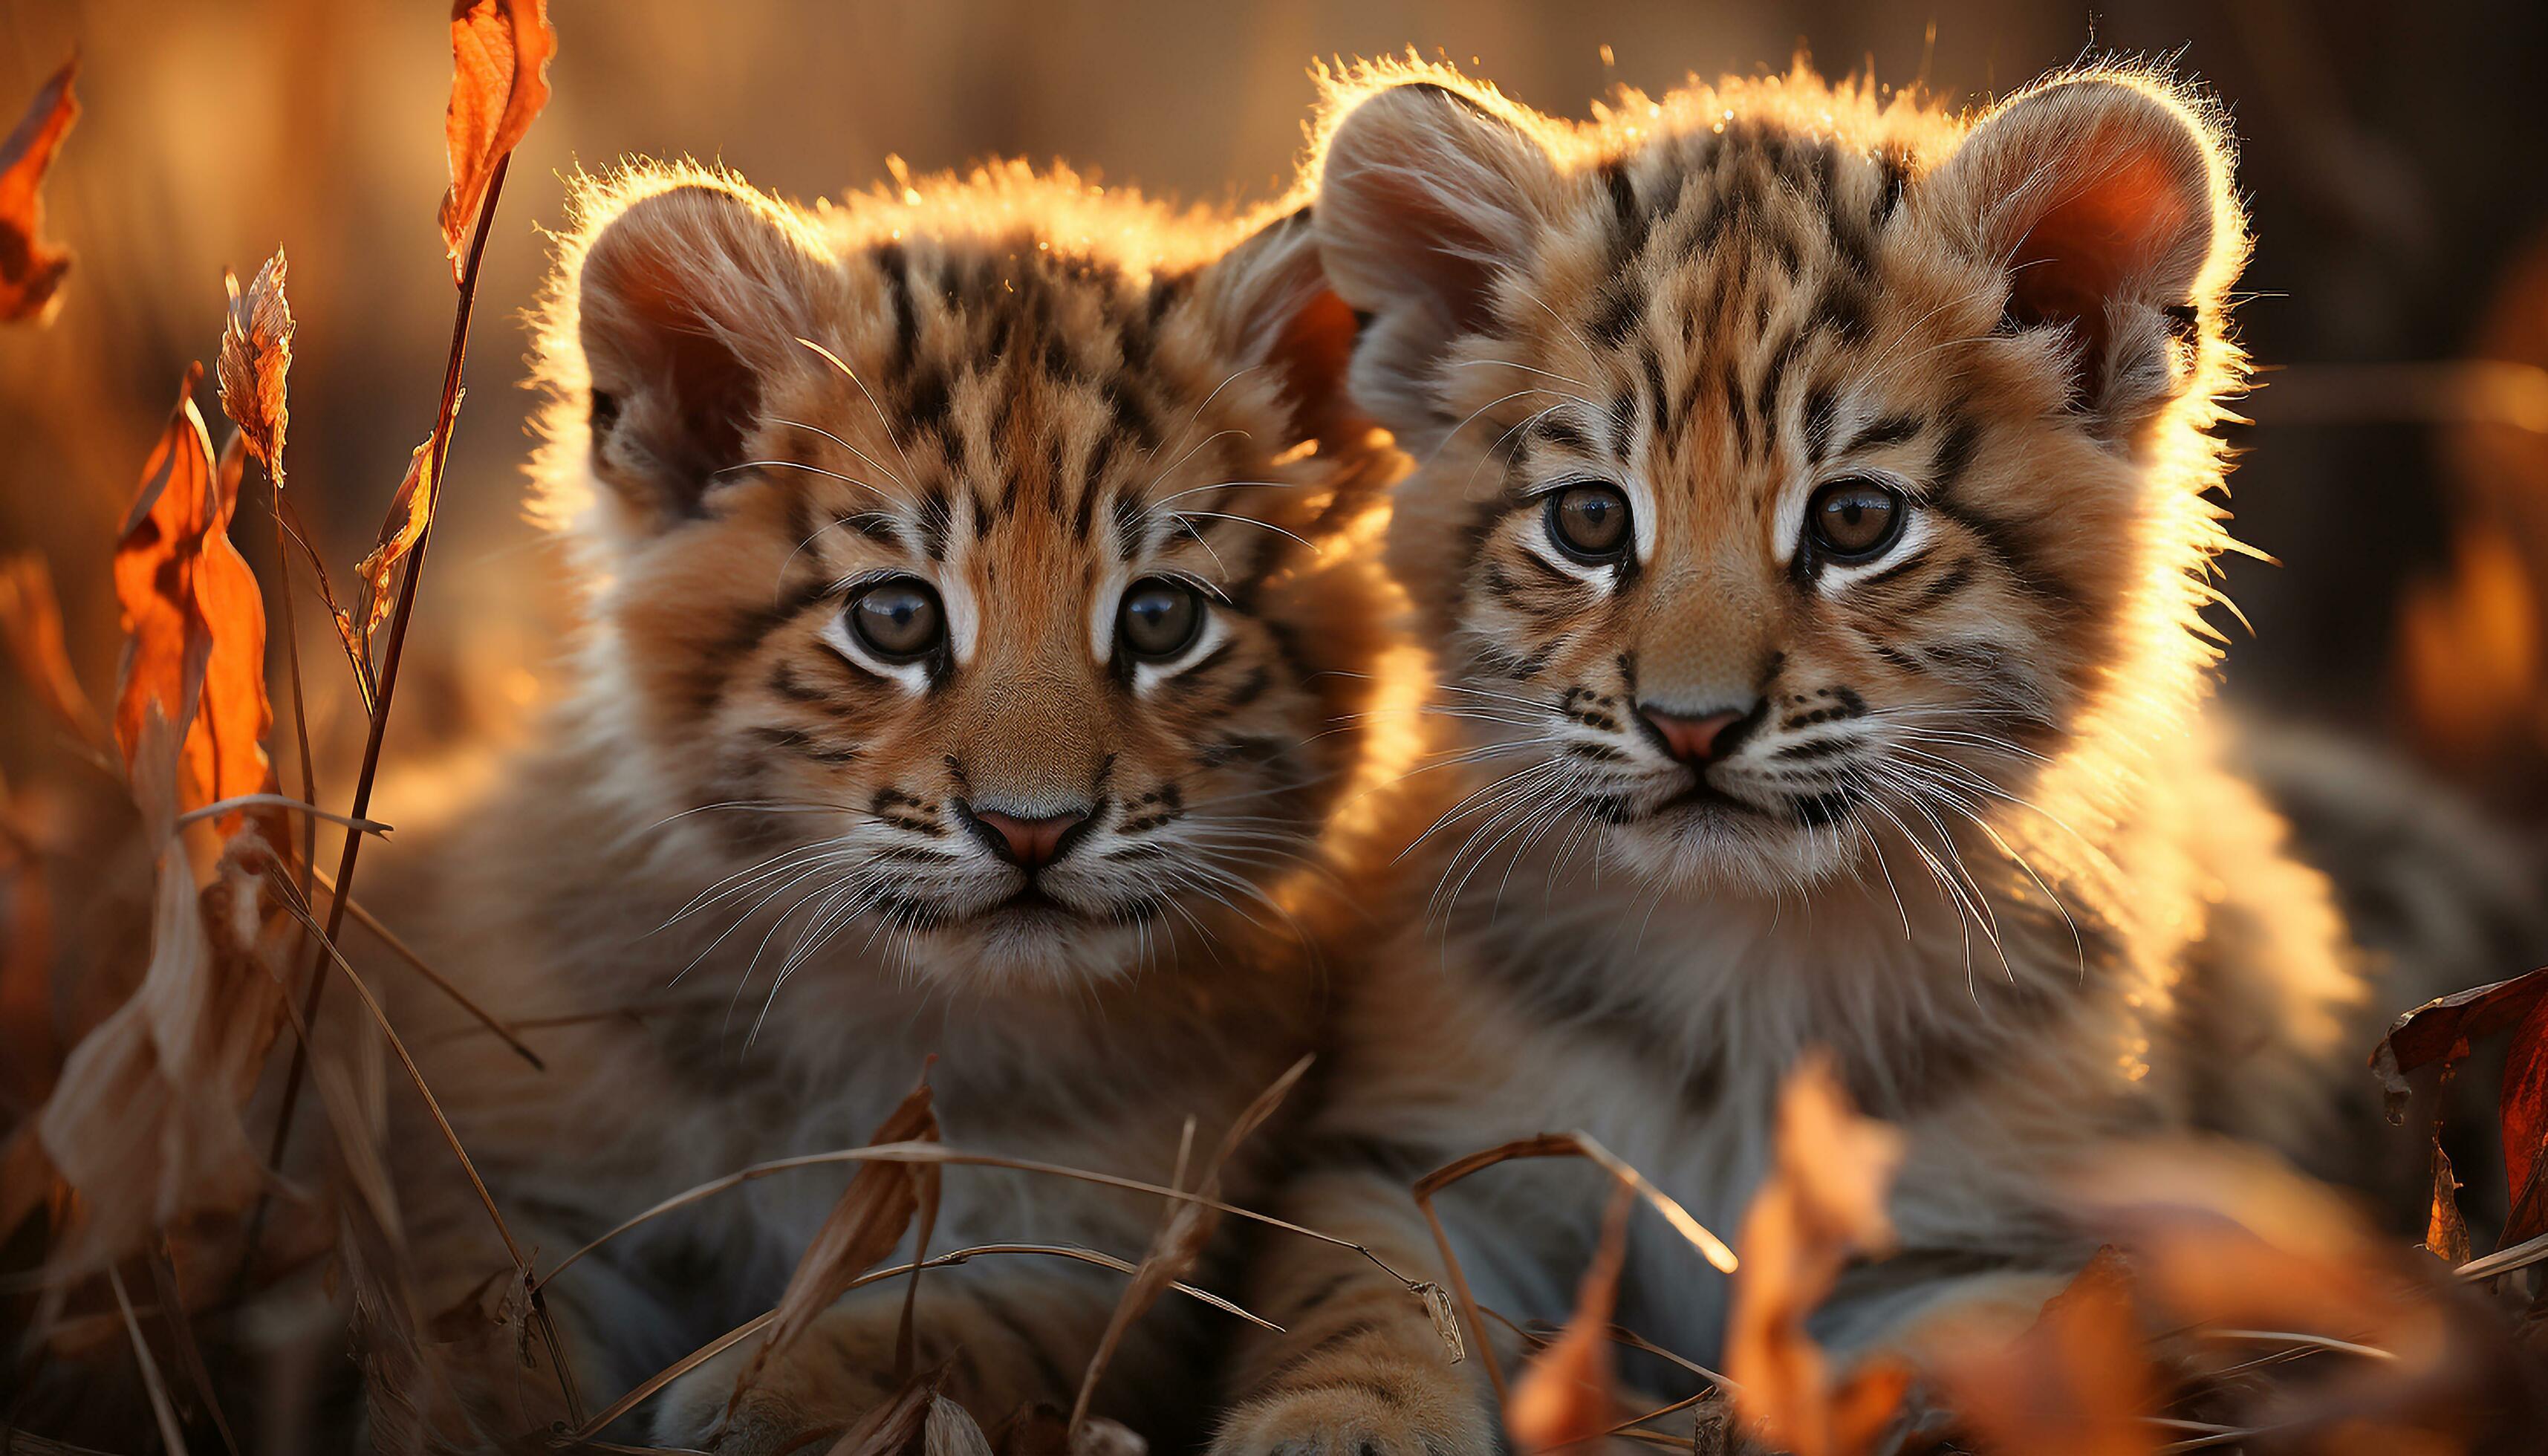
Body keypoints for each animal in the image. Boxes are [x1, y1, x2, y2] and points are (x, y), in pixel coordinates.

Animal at [377, 159, 1404, 1453]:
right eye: (896, 619)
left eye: (1162, 619)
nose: (1033, 830)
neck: (891, 1013)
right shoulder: (509, 1184)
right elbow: (482, 1337)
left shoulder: (1127, 1254)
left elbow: (957, 1333)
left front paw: (755, 1394)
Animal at [1209, 59, 2540, 1456]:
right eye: (1588, 522)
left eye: (1855, 521)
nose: (1690, 724)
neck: (1745, 957)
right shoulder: (1429, 1158)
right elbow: (1362, 1289)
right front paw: (1338, 1425)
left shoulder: (2005, 1235)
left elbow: (1946, 1358)